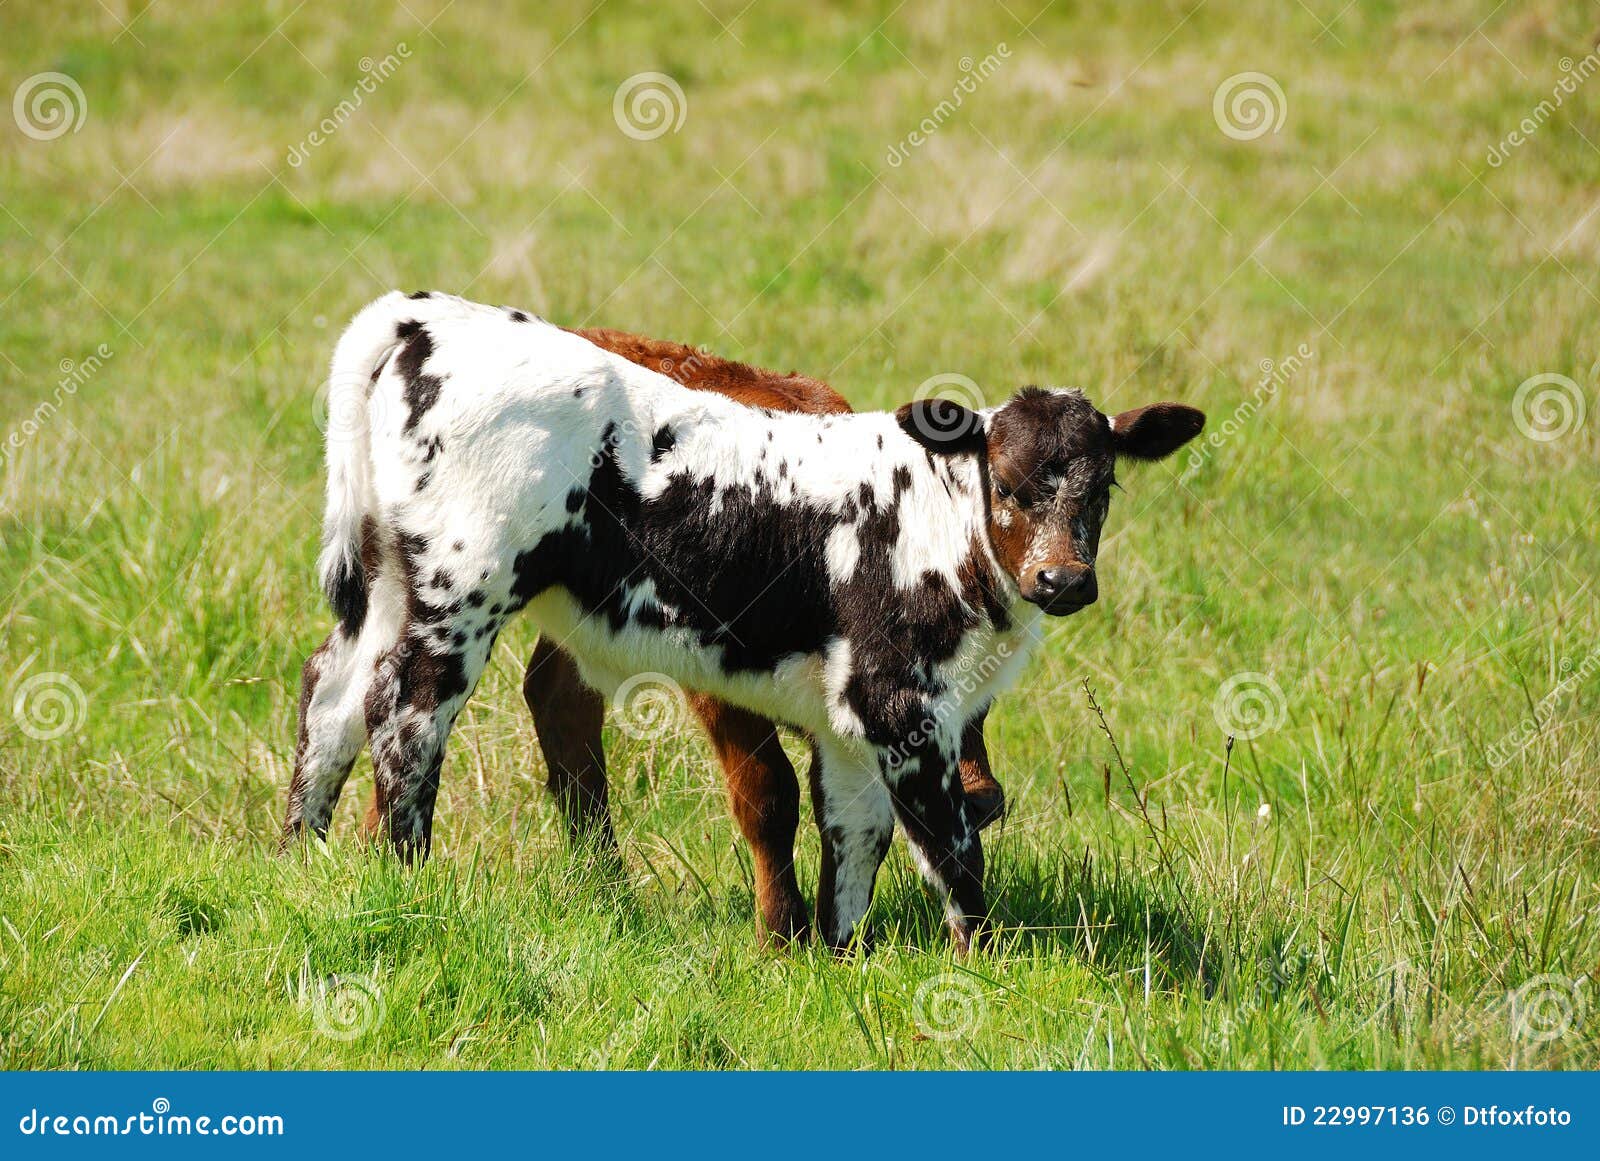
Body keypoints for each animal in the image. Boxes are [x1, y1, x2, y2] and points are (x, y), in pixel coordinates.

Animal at [282, 290, 1203, 952]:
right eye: (1006, 484)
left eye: (1103, 487)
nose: (1062, 579)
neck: (936, 520)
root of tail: (426, 315)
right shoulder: (898, 705)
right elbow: (945, 845)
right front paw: (981, 964)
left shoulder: (848, 718)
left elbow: (855, 832)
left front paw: (839, 957)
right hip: (462, 590)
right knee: (407, 709)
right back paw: (407, 874)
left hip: (391, 578)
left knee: (334, 690)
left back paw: (301, 860)